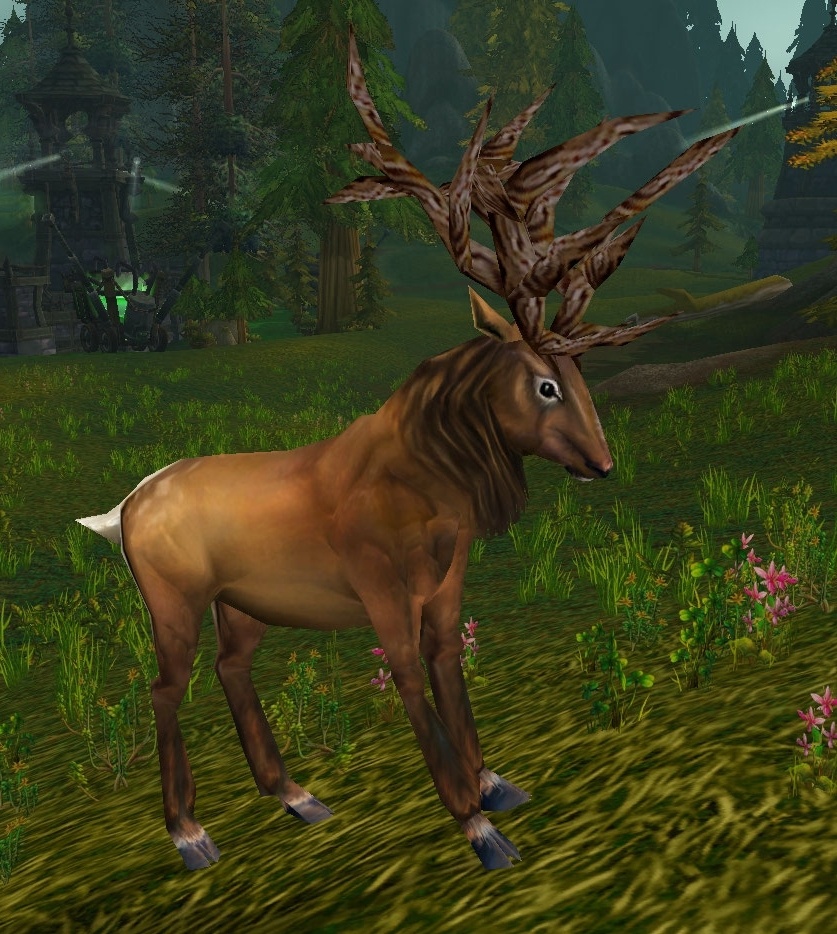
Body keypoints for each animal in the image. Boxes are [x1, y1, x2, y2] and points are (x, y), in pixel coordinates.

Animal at [76, 26, 741, 872]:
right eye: (543, 384)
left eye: (579, 373)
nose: (602, 462)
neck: (442, 498)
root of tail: (121, 510)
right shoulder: (380, 589)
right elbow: (409, 682)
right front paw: (475, 824)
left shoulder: (445, 585)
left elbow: (448, 666)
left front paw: (494, 783)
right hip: (173, 598)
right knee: (163, 688)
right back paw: (189, 832)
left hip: (243, 604)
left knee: (232, 668)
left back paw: (293, 793)